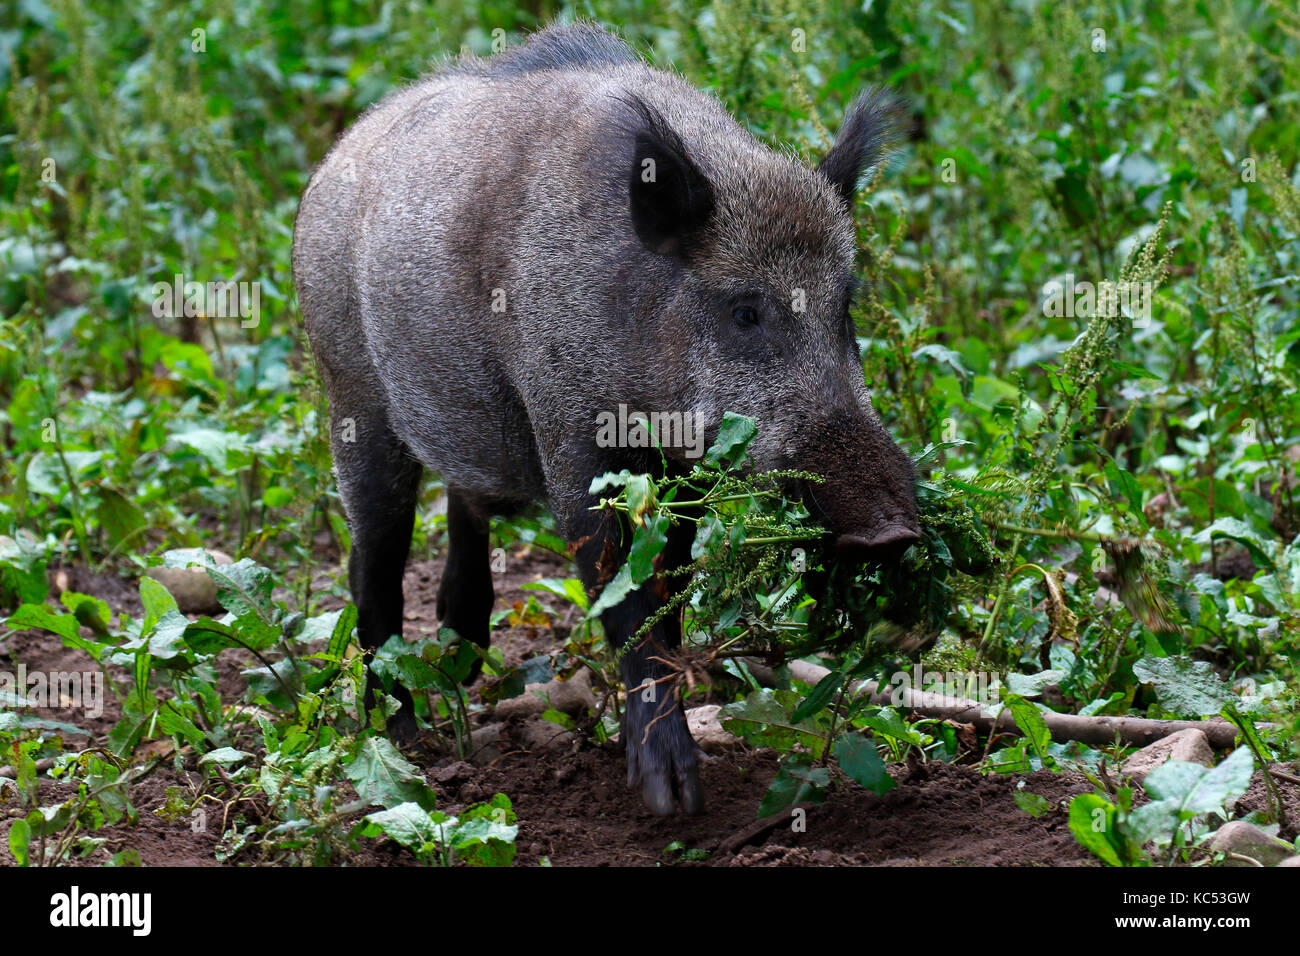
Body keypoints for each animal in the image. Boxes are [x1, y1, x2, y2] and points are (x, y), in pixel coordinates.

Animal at [292, 21, 920, 815]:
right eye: (746, 312)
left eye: (845, 309)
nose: (891, 530)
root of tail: (333, 160)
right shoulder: (572, 440)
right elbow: (622, 596)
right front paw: (670, 798)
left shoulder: (682, 475)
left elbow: (669, 591)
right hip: (351, 397)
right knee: (371, 563)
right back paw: (403, 740)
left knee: (464, 512)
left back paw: (463, 663)